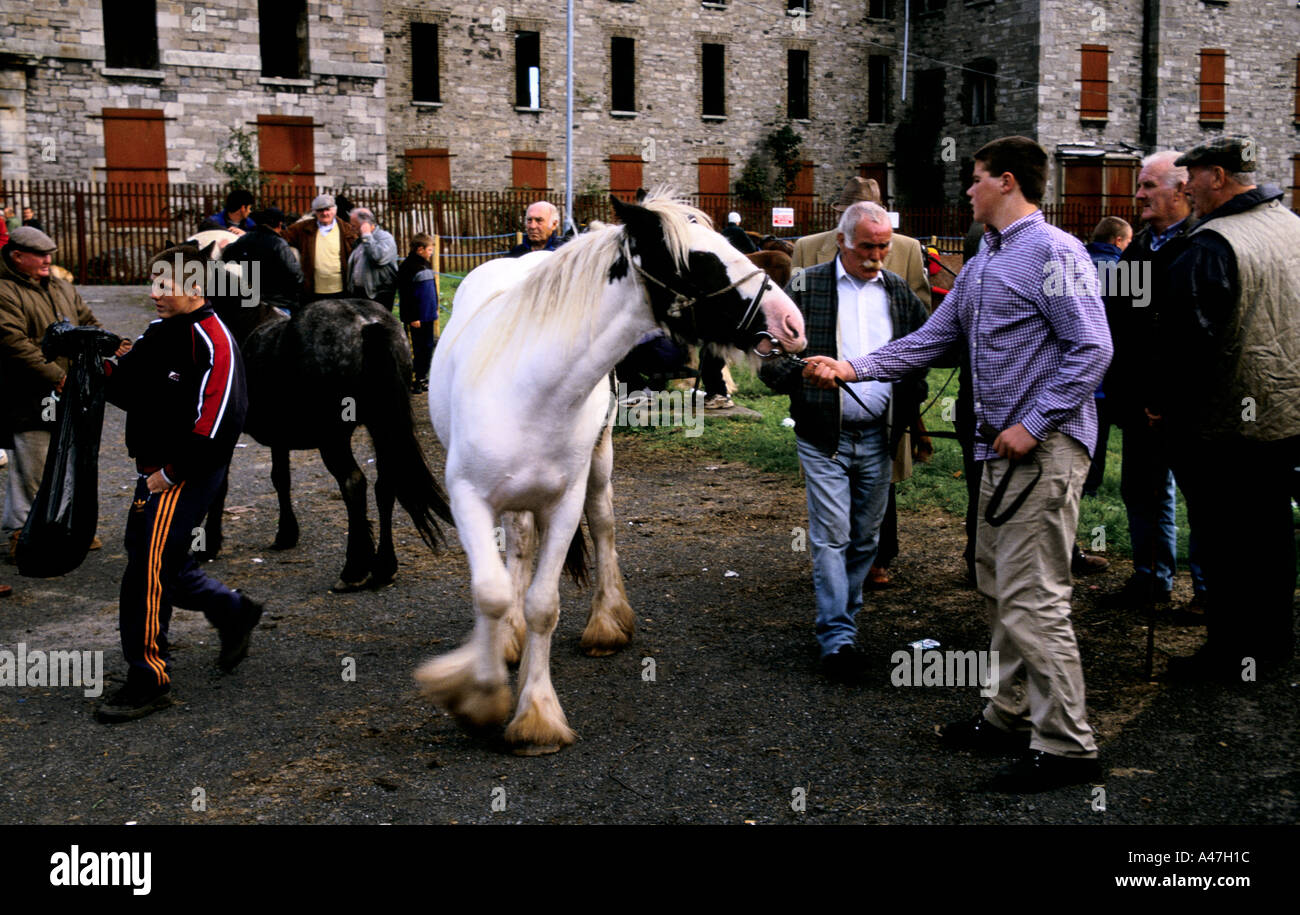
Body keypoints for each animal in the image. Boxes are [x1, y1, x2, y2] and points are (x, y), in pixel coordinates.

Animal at [180, 229, 453, 591]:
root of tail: (367, 324)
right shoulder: (278, 437)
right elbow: (280, 478)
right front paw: (286, 533)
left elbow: (220, 484)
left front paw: (209, 543)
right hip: (381, 426)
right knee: (385, 484)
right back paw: (383, 567)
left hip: (333, 437)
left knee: (354, 483)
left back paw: (354, 567)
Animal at [415, 191, 806, 755]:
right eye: (701, 262)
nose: (791, 323)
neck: (531, 388)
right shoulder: (469, 498)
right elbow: (491, 591)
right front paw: (480, 694)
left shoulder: (564, 501)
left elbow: (544, 604)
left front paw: (535, 716)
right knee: (518, 548)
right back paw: (508, 637)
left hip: (598, 469)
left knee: (602, 526)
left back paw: (605, 622)